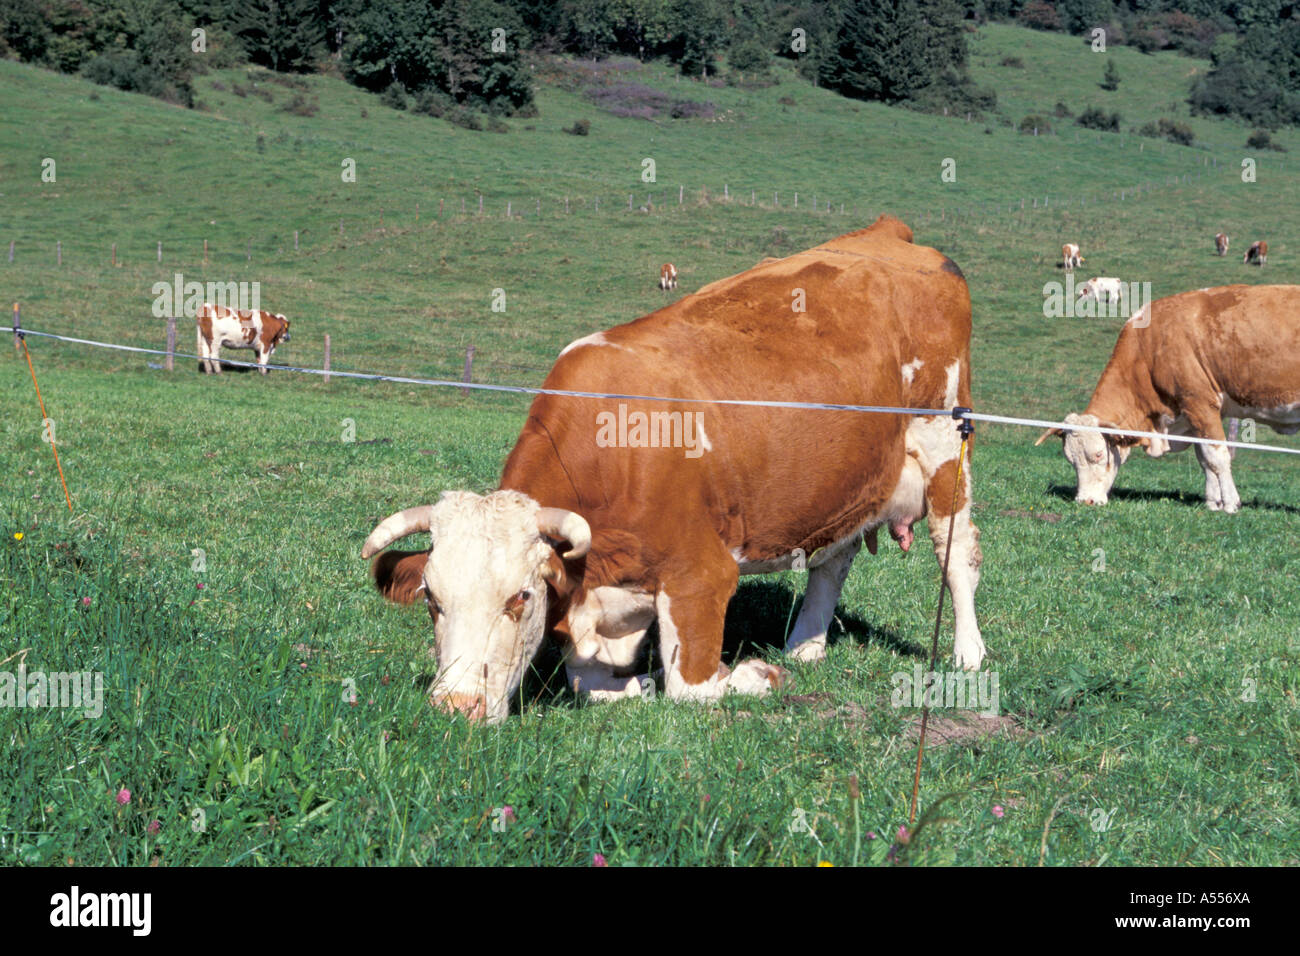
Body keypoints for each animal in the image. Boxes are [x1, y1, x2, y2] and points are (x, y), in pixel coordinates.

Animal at [360, 215, 986, 723]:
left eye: (521, 597)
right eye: (432, 600)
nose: (455, 707)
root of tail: (887, 232)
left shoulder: (702, 575)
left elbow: (689, 687)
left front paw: (755, 675)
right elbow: (592, 682)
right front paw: (636, 682)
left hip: (943, 442)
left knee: (956, 554)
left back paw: (968, 654)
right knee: (834, 557)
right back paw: (805, 645)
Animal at [1036, 284, 1300, 513]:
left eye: (1099, 453)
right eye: (1070, 459)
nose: (1085, 501)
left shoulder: (1201, 404)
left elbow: (1218, 457)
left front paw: (1230, 504)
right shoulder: (1192, 414)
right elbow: (1205, 459)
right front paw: (1213, 502)